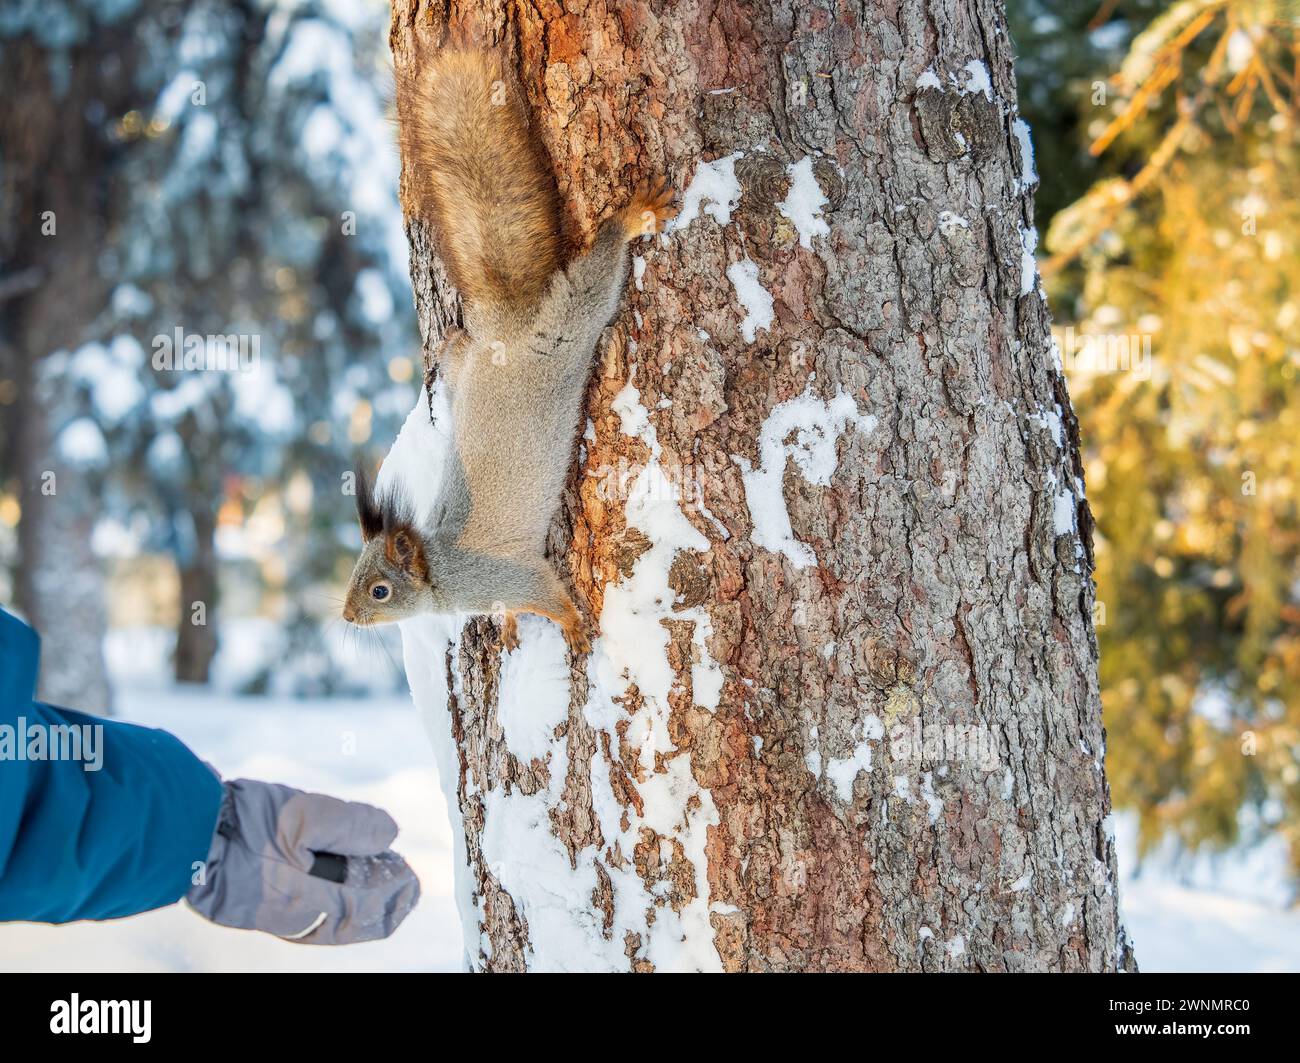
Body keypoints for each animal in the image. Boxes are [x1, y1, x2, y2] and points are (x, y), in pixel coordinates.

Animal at [341, 47, 676, 653]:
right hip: (464, 372)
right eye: (356, 574)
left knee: (592, 285)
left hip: (566, 332)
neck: (443, 573)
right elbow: (518, 611)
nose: (348, 616)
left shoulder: (512, 575)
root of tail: (510, 328)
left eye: (379, 590)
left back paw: (629, 219)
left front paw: (575, 629)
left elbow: (550, 596)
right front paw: (513, 626)